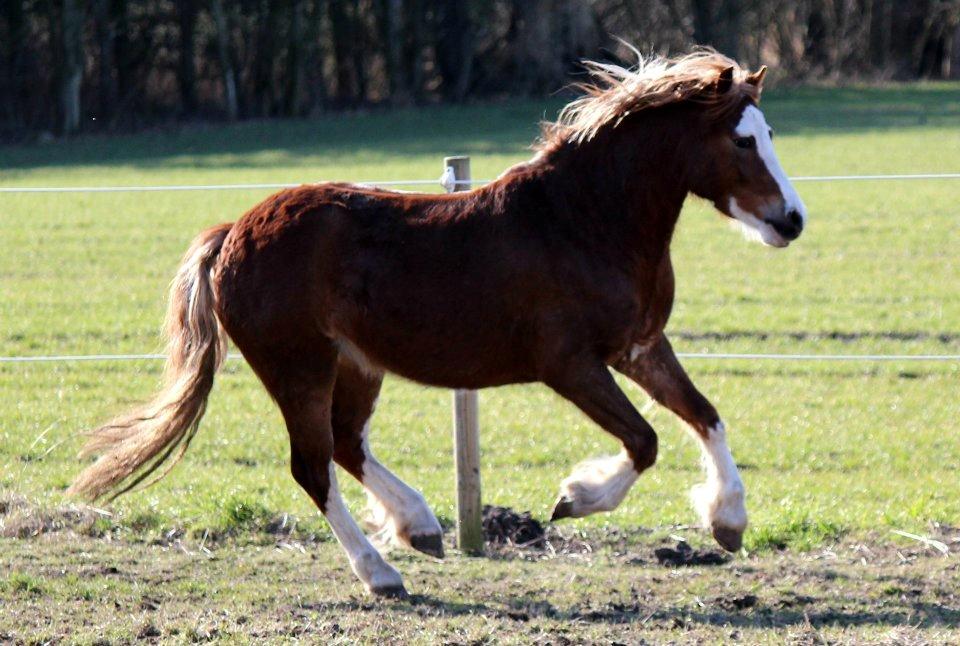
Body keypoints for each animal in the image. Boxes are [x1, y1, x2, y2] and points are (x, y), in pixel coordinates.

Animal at [68, 49, 806, 598]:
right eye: (742, 139)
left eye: (771, 135)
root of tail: (231, 234)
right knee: (312, 466)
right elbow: (646, 440)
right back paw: (382, 573)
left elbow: (706, 416)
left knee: (345, 445)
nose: (792, 221)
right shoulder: (569, 364)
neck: (586, 221)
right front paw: (574, 498)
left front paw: (729, 521)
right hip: (297, 366)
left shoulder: (640, 347)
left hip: (357, 364)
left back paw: (419, 526)